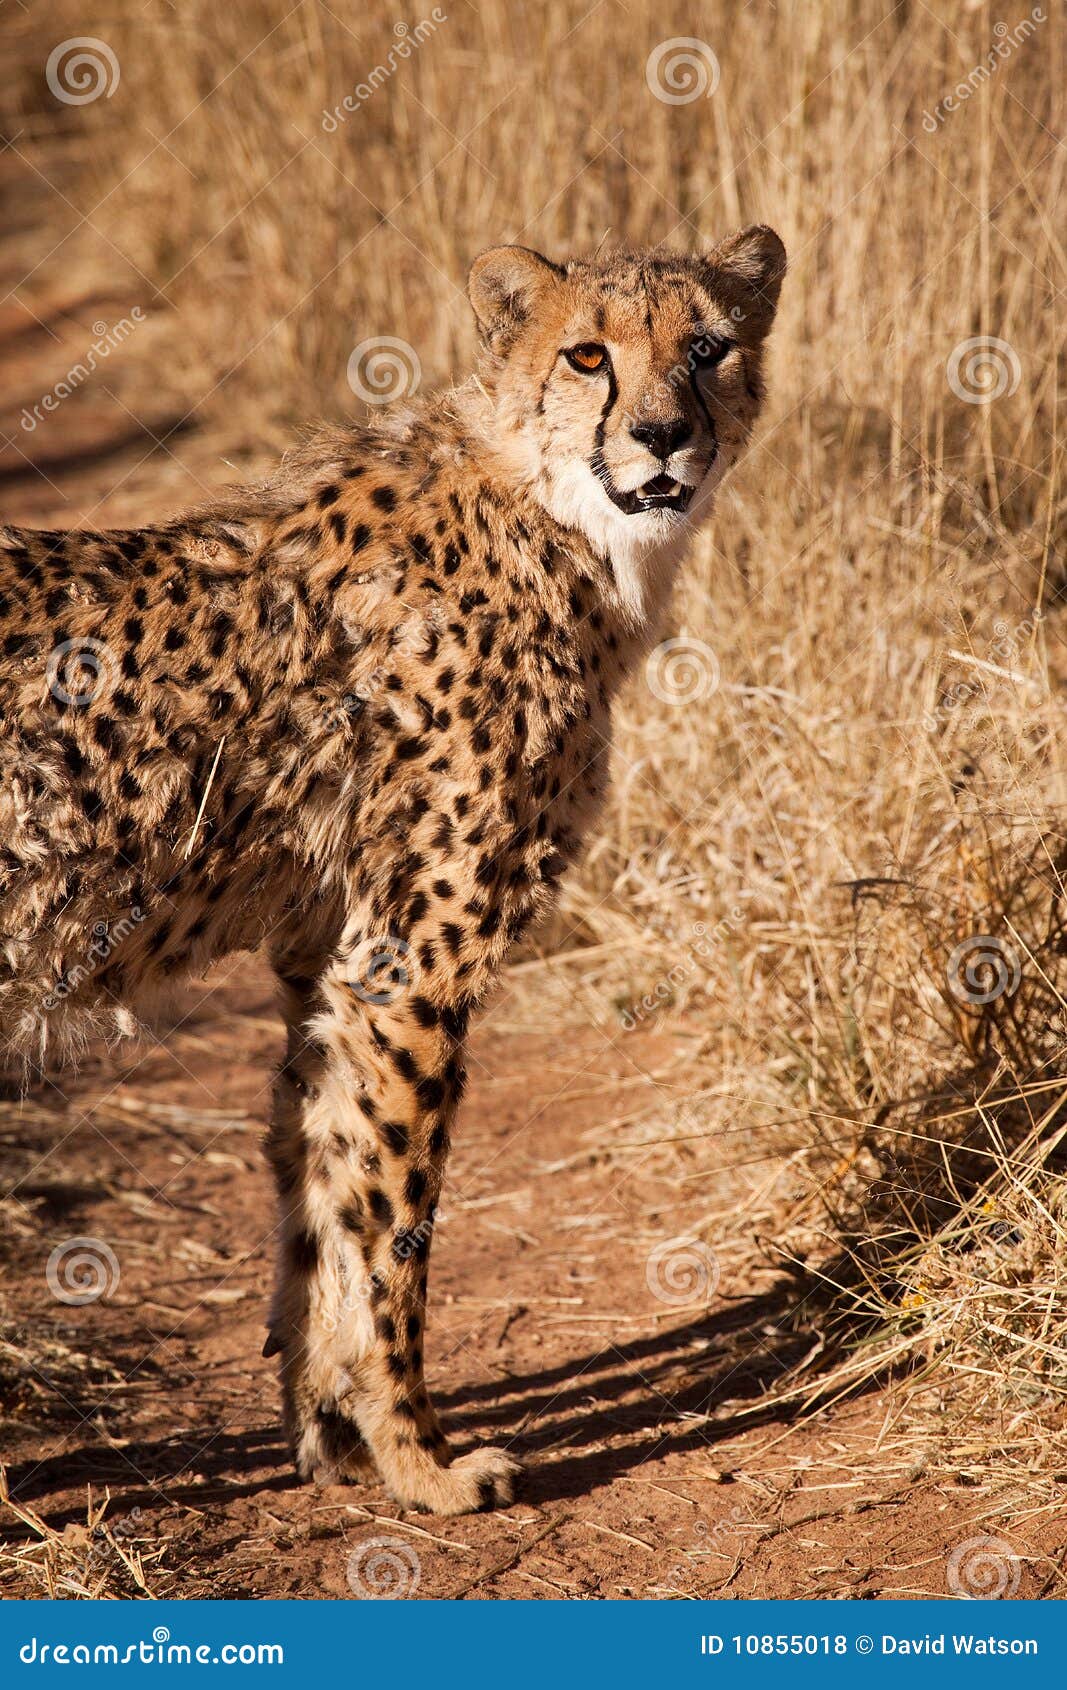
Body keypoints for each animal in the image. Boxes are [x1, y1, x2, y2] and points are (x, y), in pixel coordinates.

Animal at [0, 224, 786, 1515]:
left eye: (708, 347)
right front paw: (420, 1458)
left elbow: (318, 1187)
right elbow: (392, 1223)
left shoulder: (329, 955)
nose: (664, 434)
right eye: (587, 354)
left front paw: (330, 1432)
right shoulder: (411, 962)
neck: (559, 517)